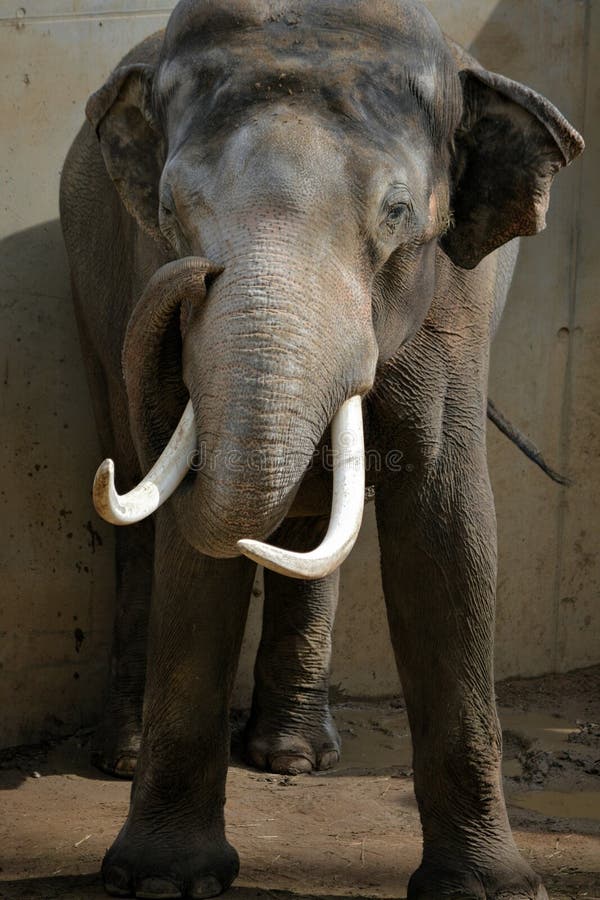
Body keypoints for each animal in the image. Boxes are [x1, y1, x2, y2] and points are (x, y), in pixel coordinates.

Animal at [59, 1, 583, 898]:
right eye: (168, 212)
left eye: (399, 214)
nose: (197, 276)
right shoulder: (135, 268)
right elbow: (191, 543)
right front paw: (163, 881)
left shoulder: (460, 297)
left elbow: (448, 532)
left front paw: (488, 889)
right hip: (91, 307)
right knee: (135, 488)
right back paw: (127, 754)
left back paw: (295, 756)